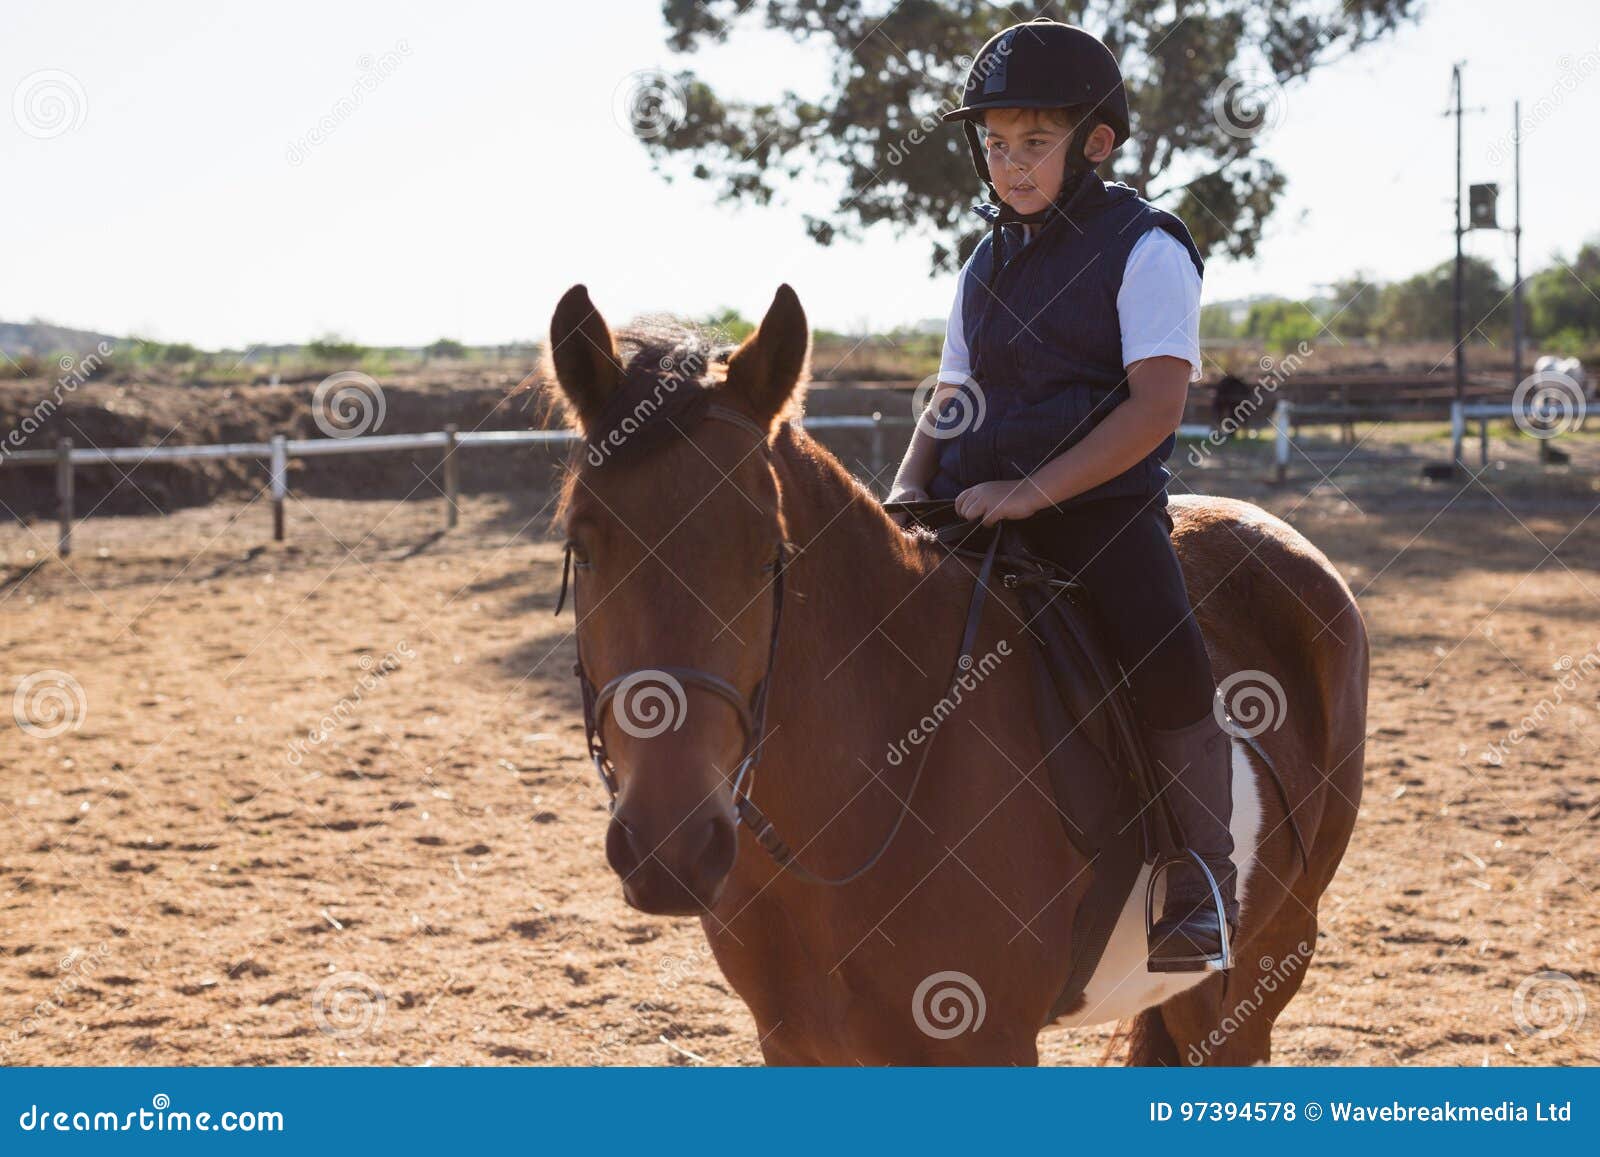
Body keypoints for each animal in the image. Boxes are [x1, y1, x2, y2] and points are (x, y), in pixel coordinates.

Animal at [542, 282, 1368, 1065]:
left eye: (770, 551)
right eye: (582, 545)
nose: (671, 849)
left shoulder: (986, 1041)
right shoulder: (794, 1045)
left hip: (1252, 980)